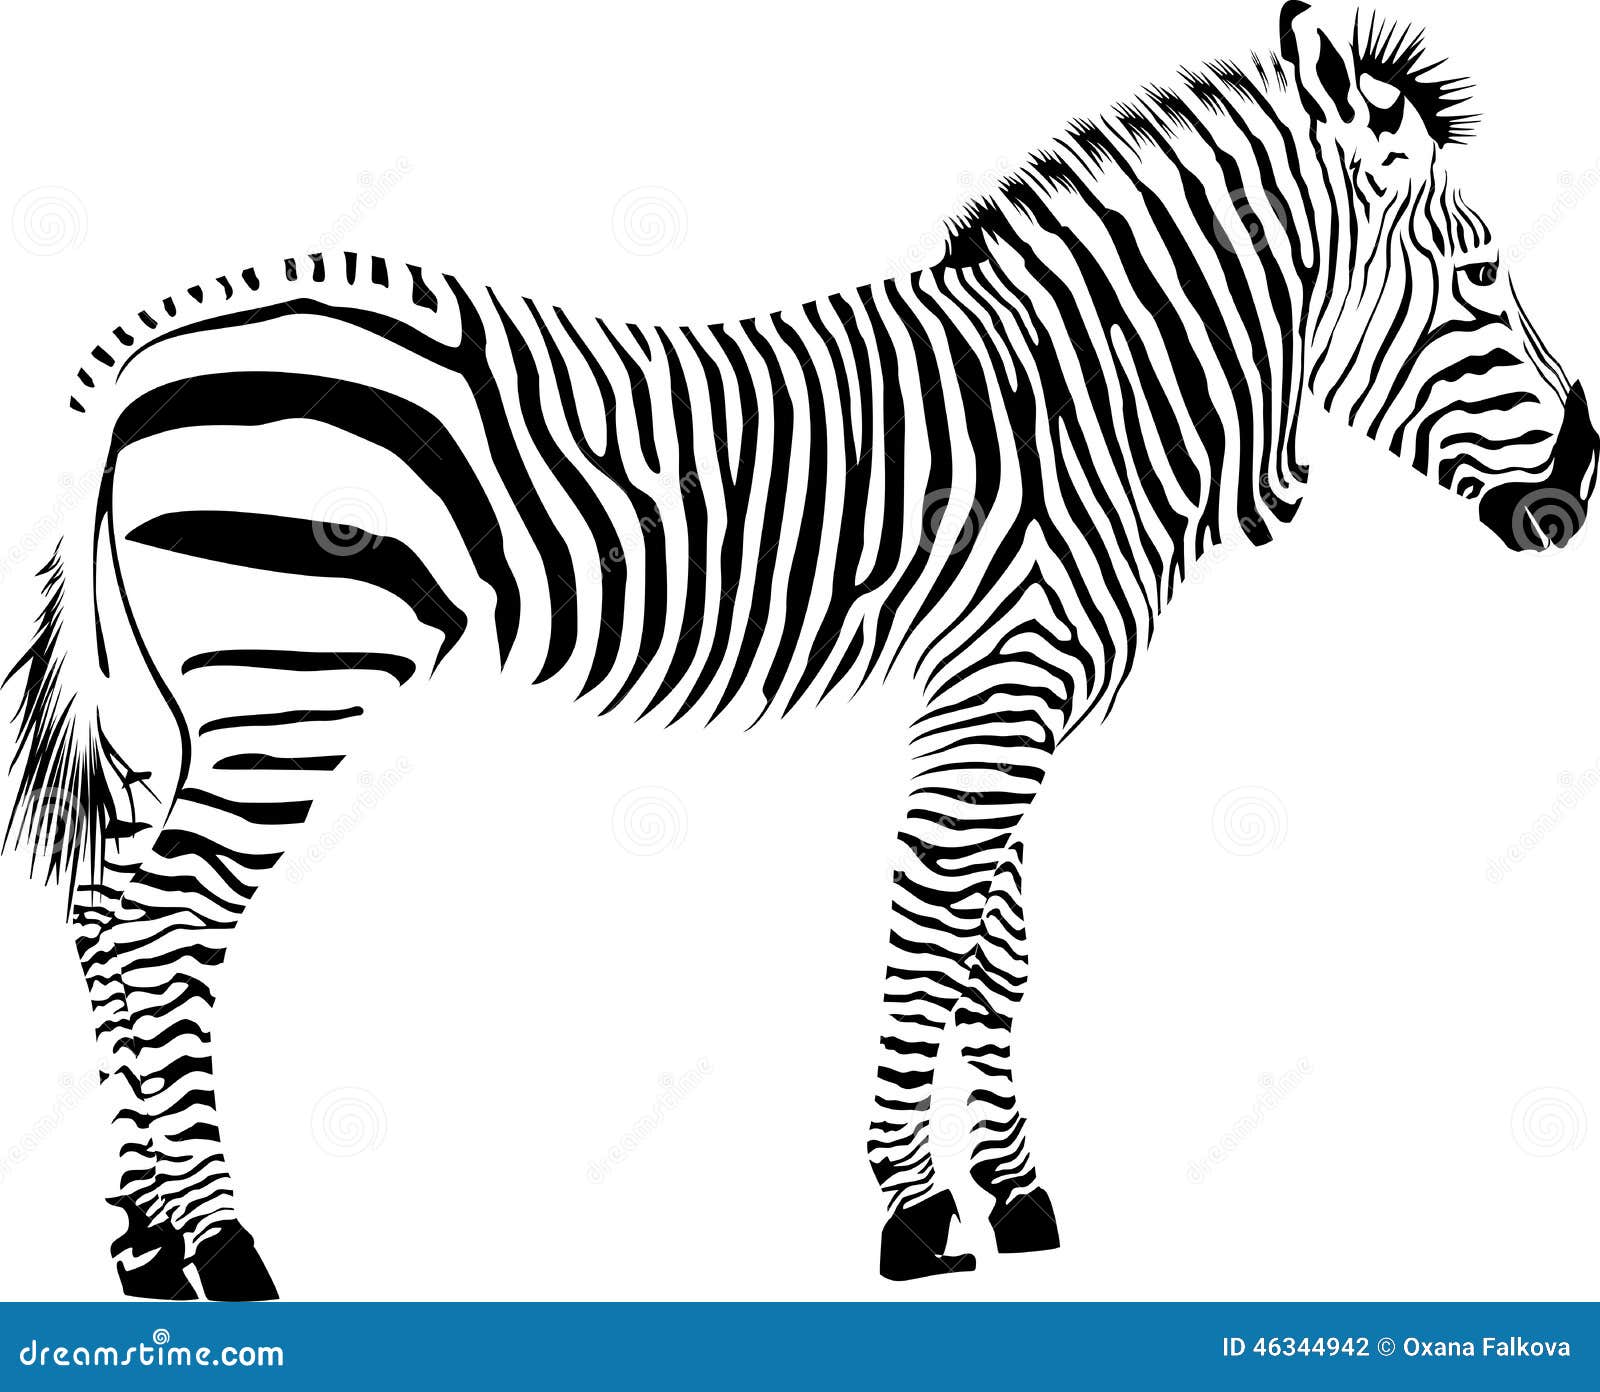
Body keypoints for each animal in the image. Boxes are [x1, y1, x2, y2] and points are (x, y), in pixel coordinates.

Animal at [5, 2, 1594, 1298]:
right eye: (1479, 275)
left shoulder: (1000, 700)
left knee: (105, 911)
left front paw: (1015, 1197)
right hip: (293, 679)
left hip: (197, 706)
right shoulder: (999, 693)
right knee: (165, 923)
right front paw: (914, 1216)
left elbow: (1002, 951)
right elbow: (933, 933)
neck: (1085, 401)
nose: (1583, 476)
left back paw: (142, 1243)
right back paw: (224, 1247)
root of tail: (141, 359)